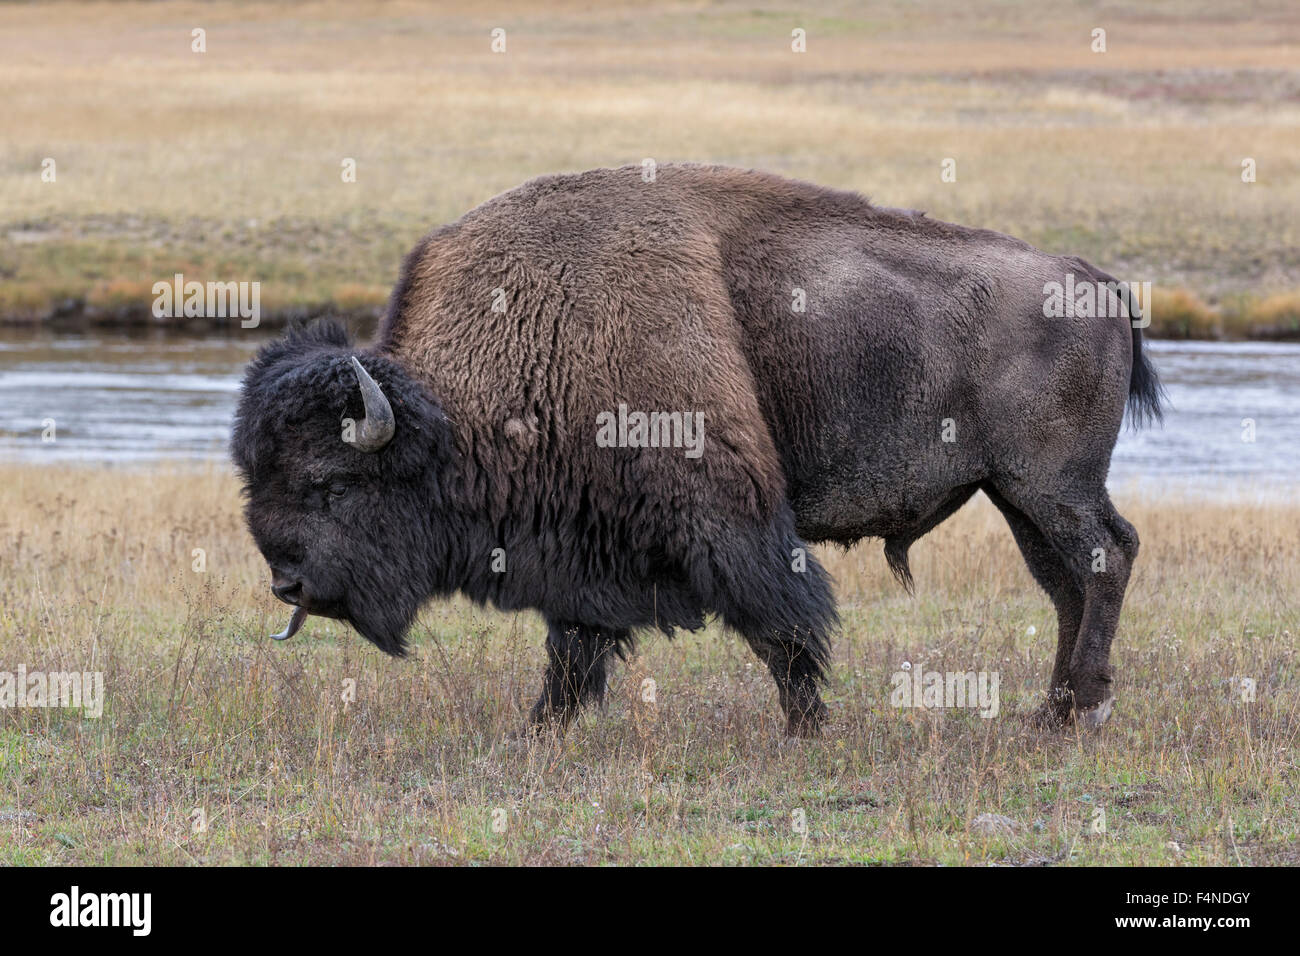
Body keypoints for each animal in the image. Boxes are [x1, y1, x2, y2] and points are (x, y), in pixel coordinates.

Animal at [232, 163, 1161, 736]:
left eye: (327, 484)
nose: (287, 582)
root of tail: (1098, 281)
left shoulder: (723, 515)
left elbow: (780, 624)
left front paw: (806, 726)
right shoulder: (583, 544)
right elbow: (575, 643)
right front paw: (544, 726)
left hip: (1050, 484)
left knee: (1107, 558)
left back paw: (1083, 709)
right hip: (1015, 494)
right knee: (1066, 584)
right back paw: (1053, 712)